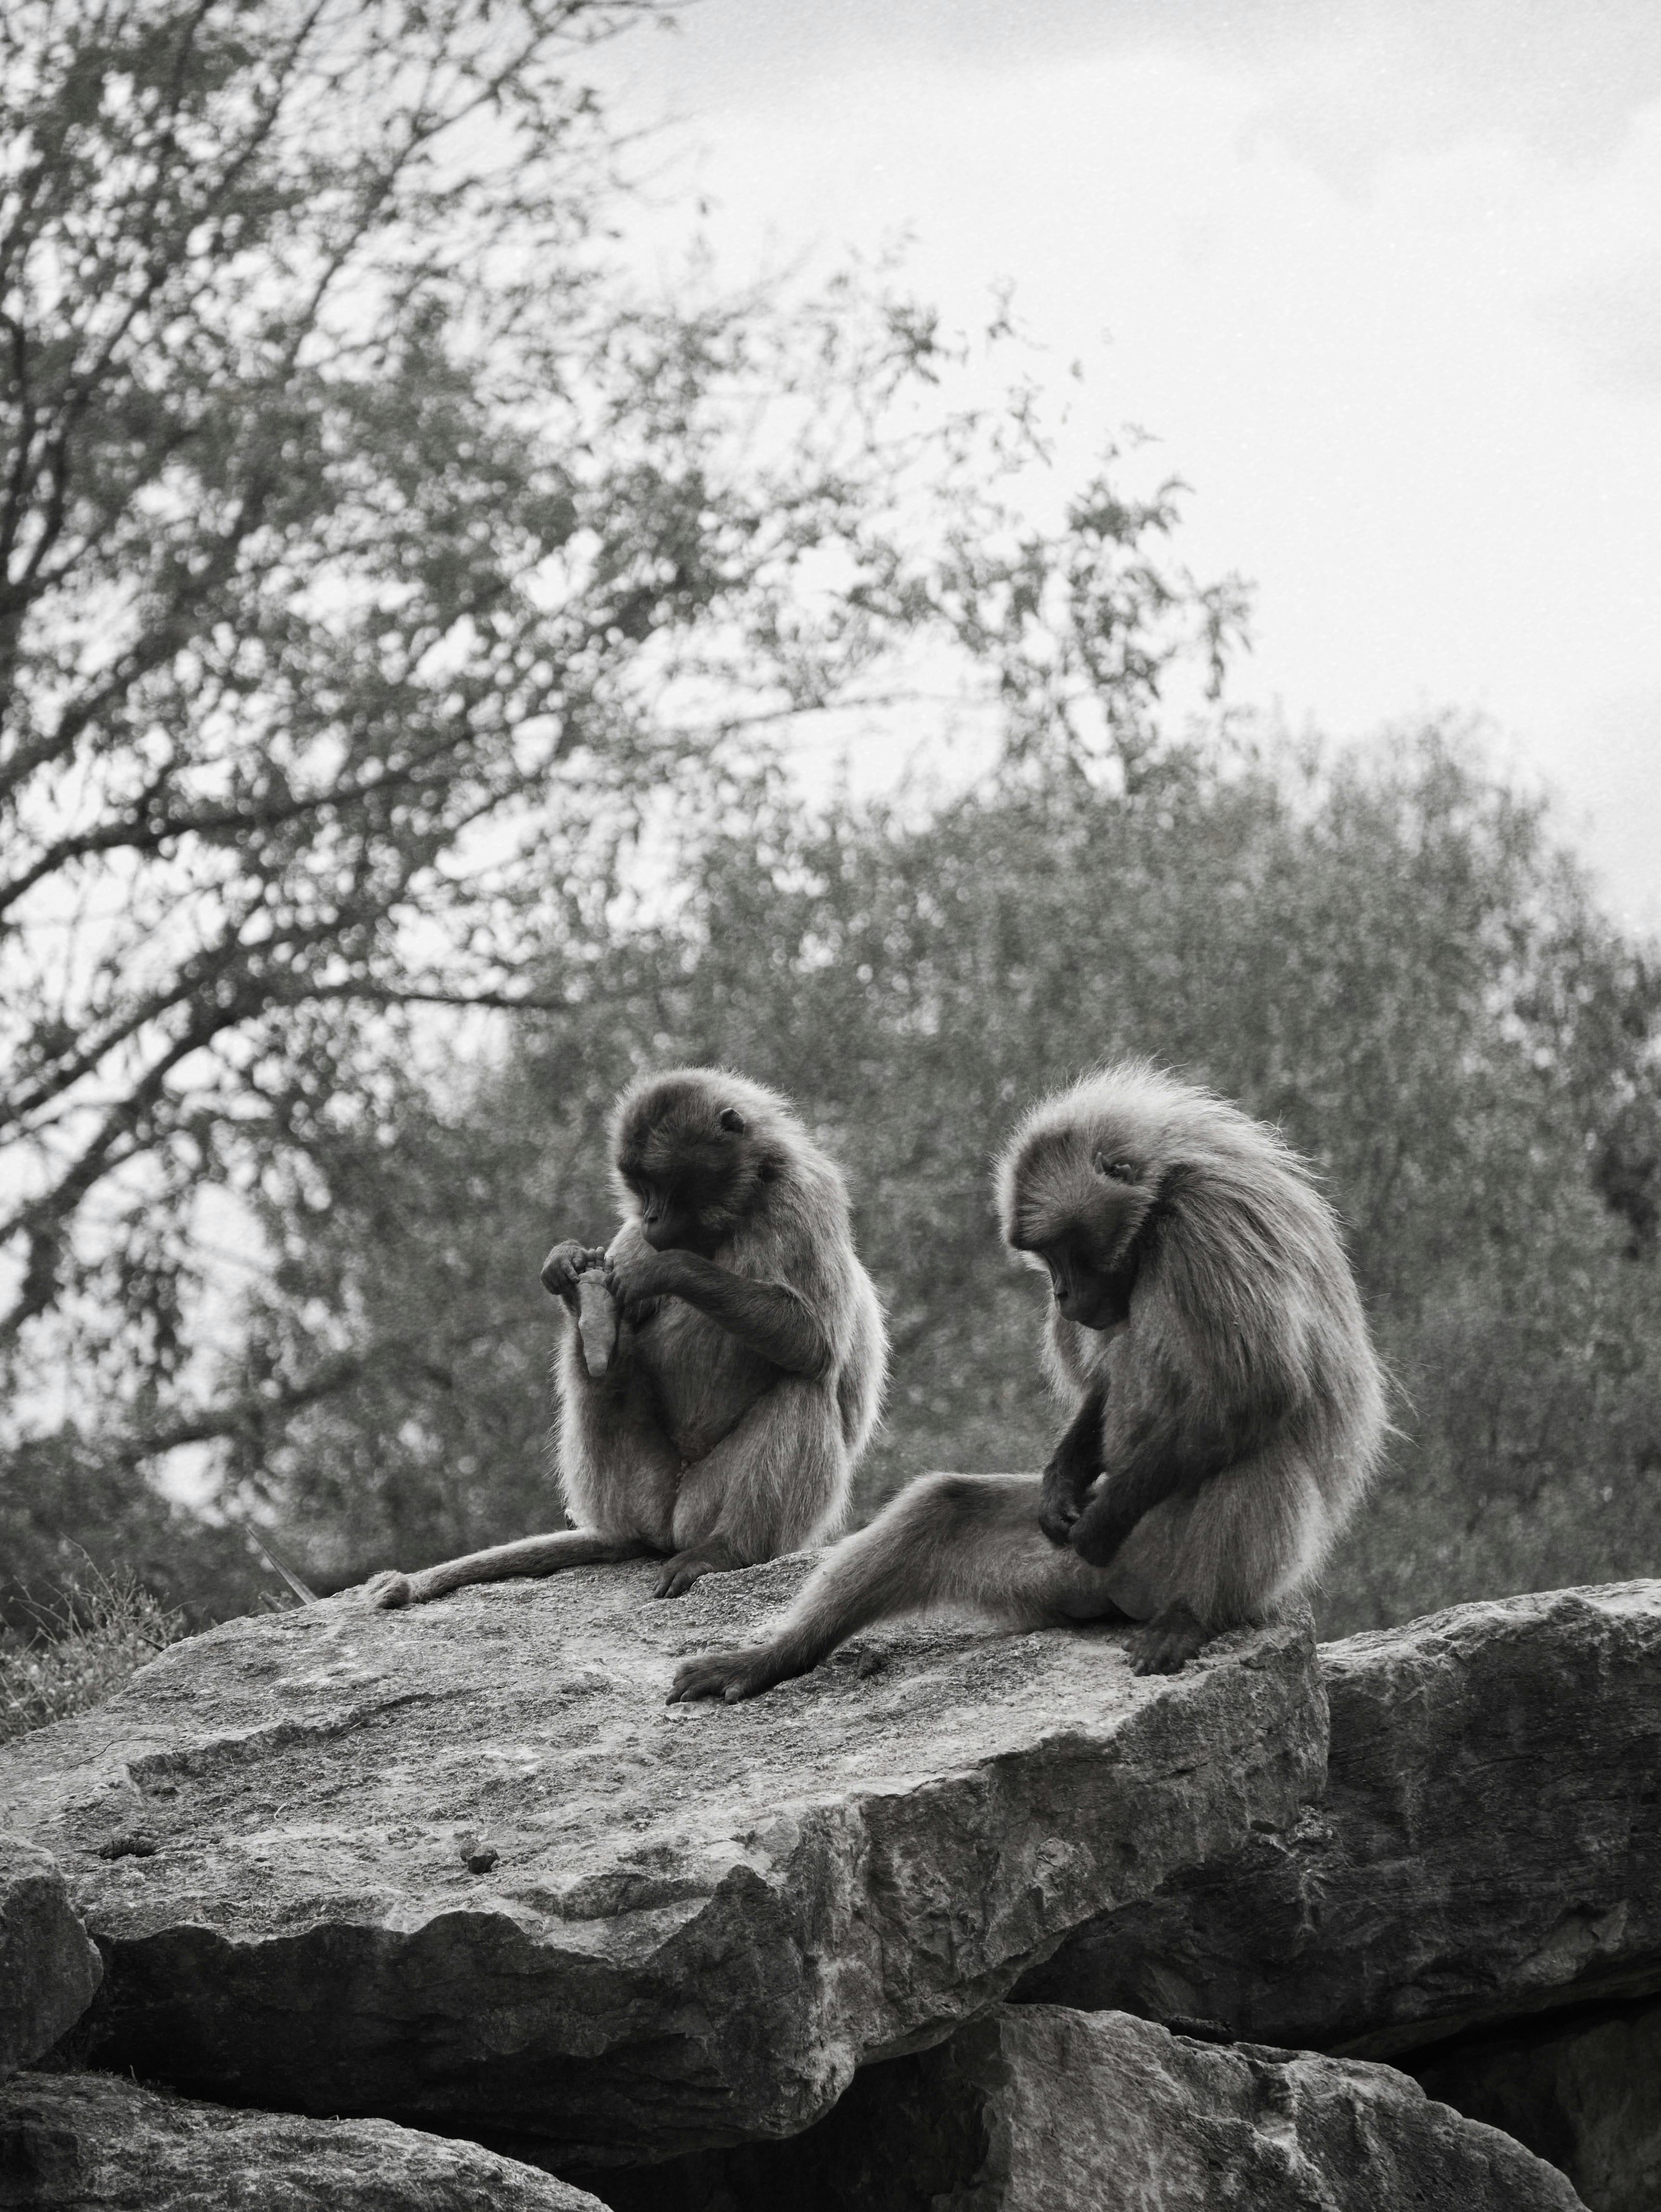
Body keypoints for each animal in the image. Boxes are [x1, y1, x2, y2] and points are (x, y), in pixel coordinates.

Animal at [364, 1068, 886, 1610]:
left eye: (665, 1183)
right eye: (641, 1186)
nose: (652, 1218)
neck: (738, 1209)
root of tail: (660, 1527)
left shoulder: (805, 1195)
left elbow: (814, 1341)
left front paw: (665, 1269)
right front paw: (568, 1266)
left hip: (704, 1504)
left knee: (803, 1385)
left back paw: (726, 1549)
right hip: (634, 1489)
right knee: (599, 1380)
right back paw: (596, 1328)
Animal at [670, 1061, 1386, 1701]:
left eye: (1066, 1249)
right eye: (1044, 1255)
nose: (1063, 1295)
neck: (1157, 1213)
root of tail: (1121, 1594)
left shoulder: (1211, 1225)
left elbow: (1261, 1388)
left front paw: (1101, 1520)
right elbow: (1104, 1387)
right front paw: (1061, 1484)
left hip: (1181, 1558)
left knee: (1251, 1450)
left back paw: (1190, 1616)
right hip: (1056, 1572)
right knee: (941, 1508)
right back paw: (773, 1658)